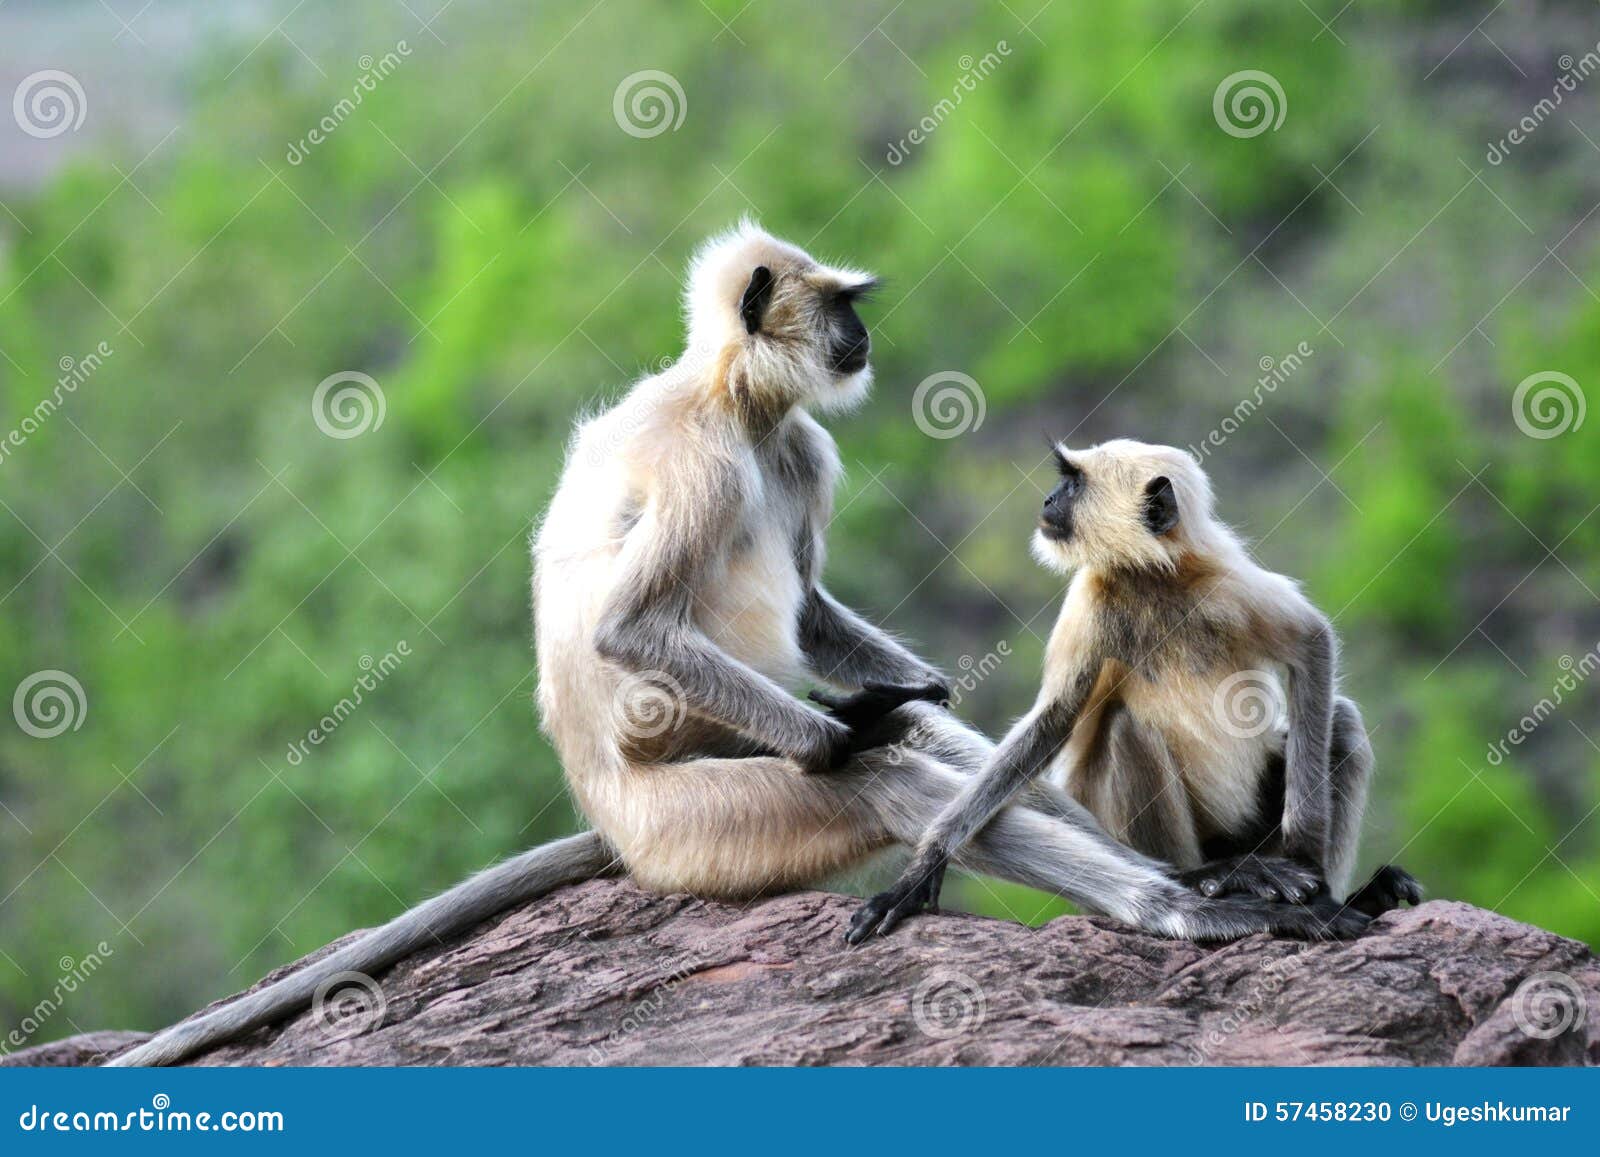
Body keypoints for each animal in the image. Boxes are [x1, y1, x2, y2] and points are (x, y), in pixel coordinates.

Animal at [111, 228, 1358, 1067]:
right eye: (840, 308)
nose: (863, 337)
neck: (727, 400)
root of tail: (613, 822)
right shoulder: (706, 460)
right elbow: (635, 629)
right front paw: (853, 728)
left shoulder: (796, 444)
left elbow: (819, 624)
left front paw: (920, 690)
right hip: (707, 828)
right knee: (885, 776)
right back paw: (1173, 903)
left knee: (939, 755)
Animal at [848, 438, 1419, 943]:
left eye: (1073, 484)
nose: (1047, 500)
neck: (1150, 579)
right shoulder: (1091, 599)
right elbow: (1053, 721)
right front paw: (925, 864)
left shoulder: (1226, 581)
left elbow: (1312, 642)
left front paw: (1306, 857)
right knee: (1125, 731)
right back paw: (1214, 877)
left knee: (1340, 720)